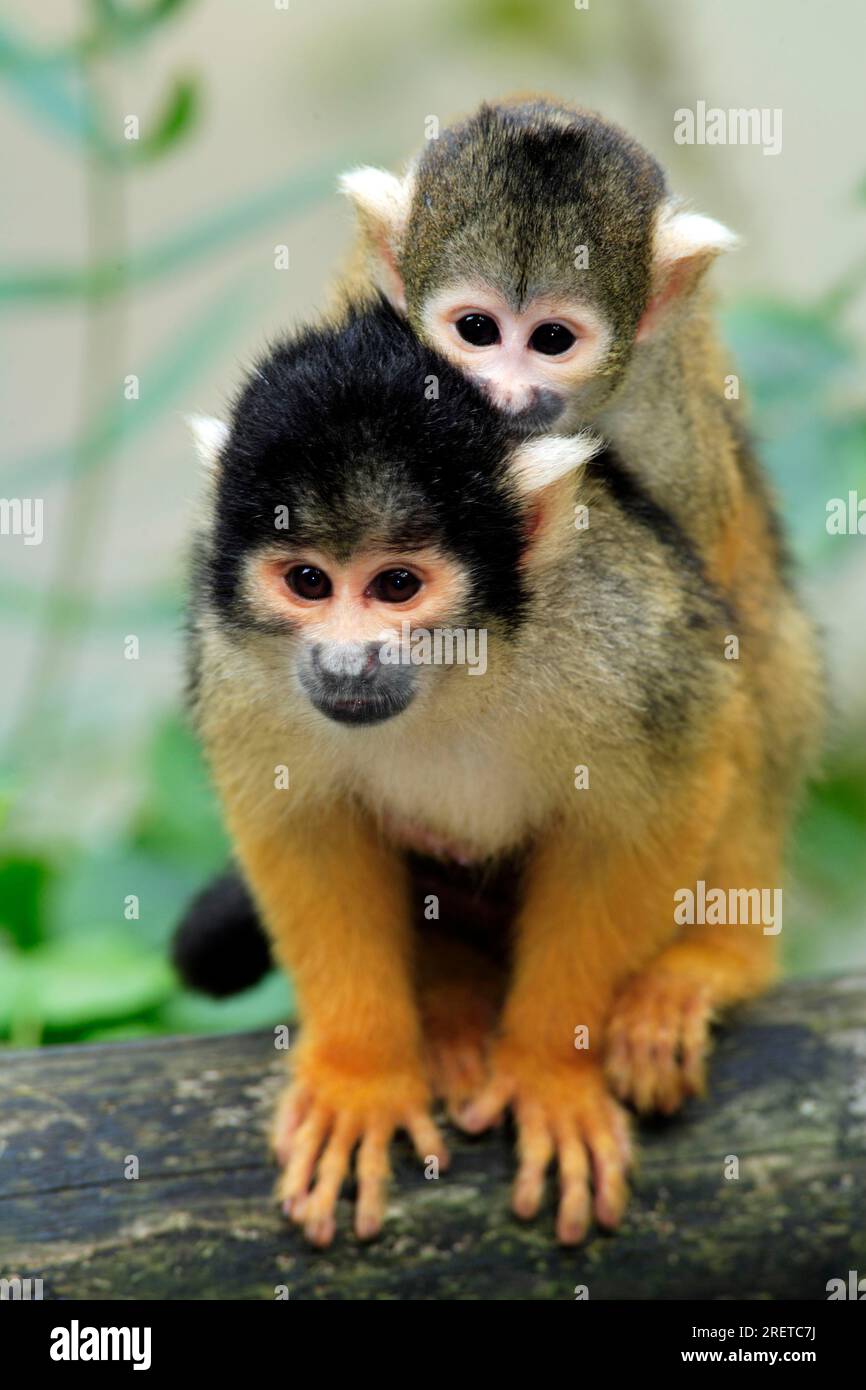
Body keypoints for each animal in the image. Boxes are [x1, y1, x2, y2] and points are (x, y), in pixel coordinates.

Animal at [181, 293, 822, 1247]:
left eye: (396, 586)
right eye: (306, 581)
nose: (343, 661)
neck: (457, 672)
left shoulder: (618, 620)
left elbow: (656, 794)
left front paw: (551, 1067)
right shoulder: (237, 662)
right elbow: (302, 825)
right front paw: (360, 1072)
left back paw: (714, 961)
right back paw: (451, 995)